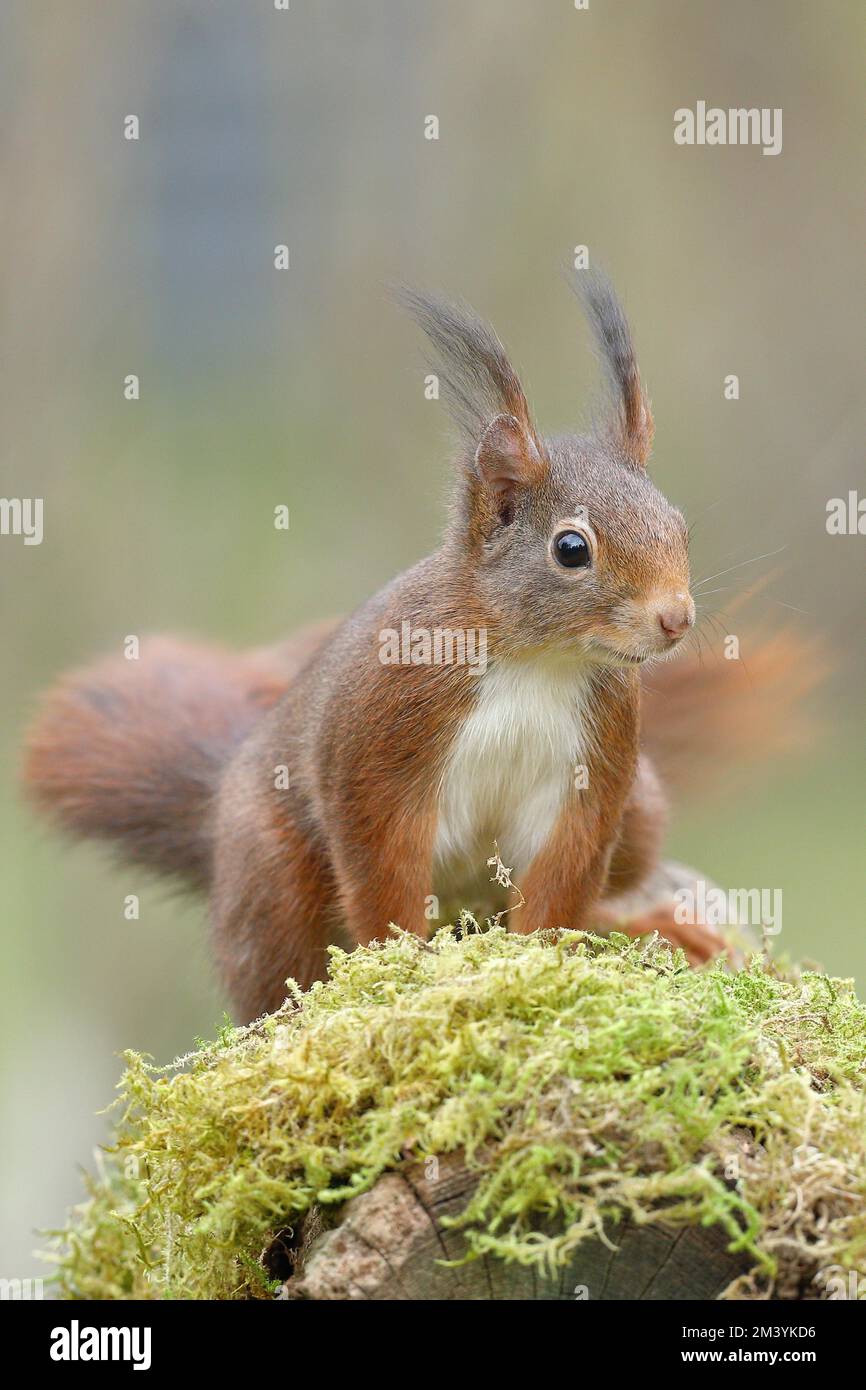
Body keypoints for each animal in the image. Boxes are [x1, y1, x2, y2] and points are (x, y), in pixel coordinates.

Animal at [23, 273, 818, 1022]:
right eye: (571, 549)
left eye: (677, 526)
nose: (675, 619)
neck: (537, 660)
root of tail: (217, 808)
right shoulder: (386, 734)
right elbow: (381, 867)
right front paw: (397, 972)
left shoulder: (595, 762)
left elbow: (563, 877)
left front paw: (545, 958)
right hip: (267, 869)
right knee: (269, 966)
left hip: (644, 806)